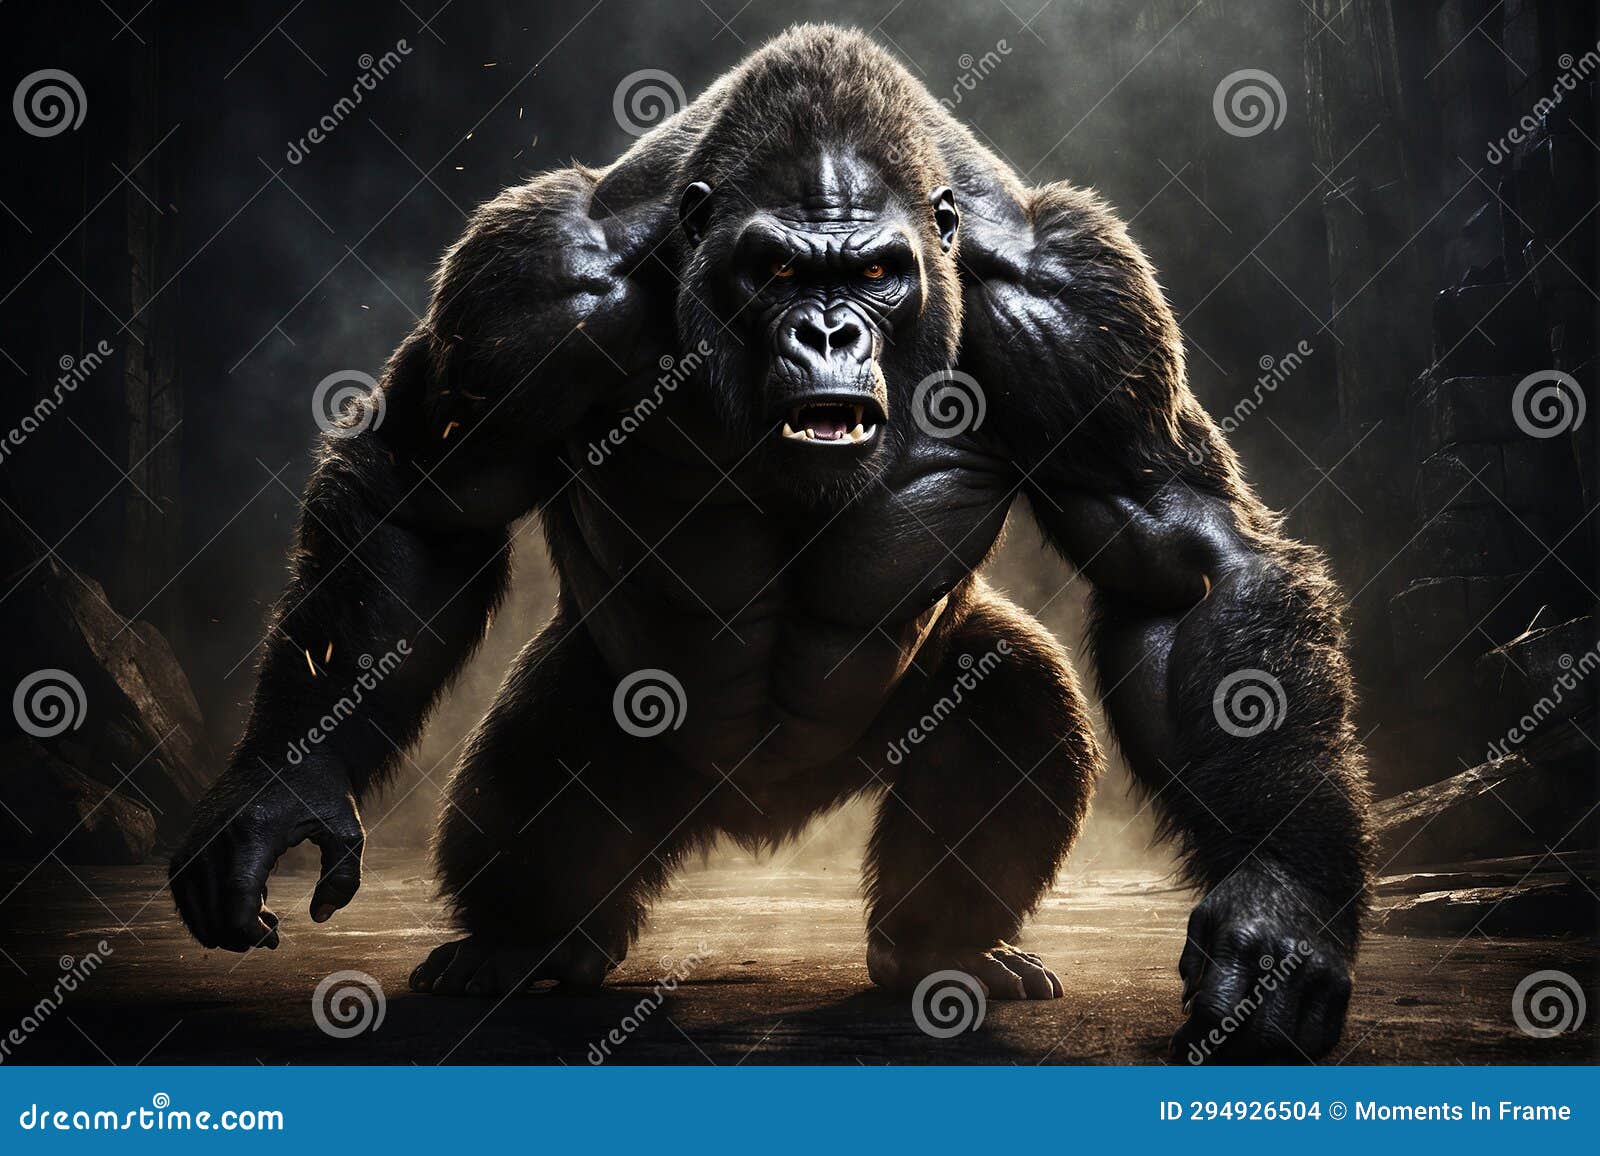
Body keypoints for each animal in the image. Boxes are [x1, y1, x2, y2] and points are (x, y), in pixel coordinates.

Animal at [169, 25, 1372, 1061]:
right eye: (782, 272)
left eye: (875, 272)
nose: (829, 331)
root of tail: (759, 820)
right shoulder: (524, 289)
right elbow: (427, 501)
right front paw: (278, 789)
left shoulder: (1083, 308)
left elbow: (1183, 560)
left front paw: (1277, 911)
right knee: (542, 762)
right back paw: (524, 943)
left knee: (1010, 686)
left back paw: (943, 954)